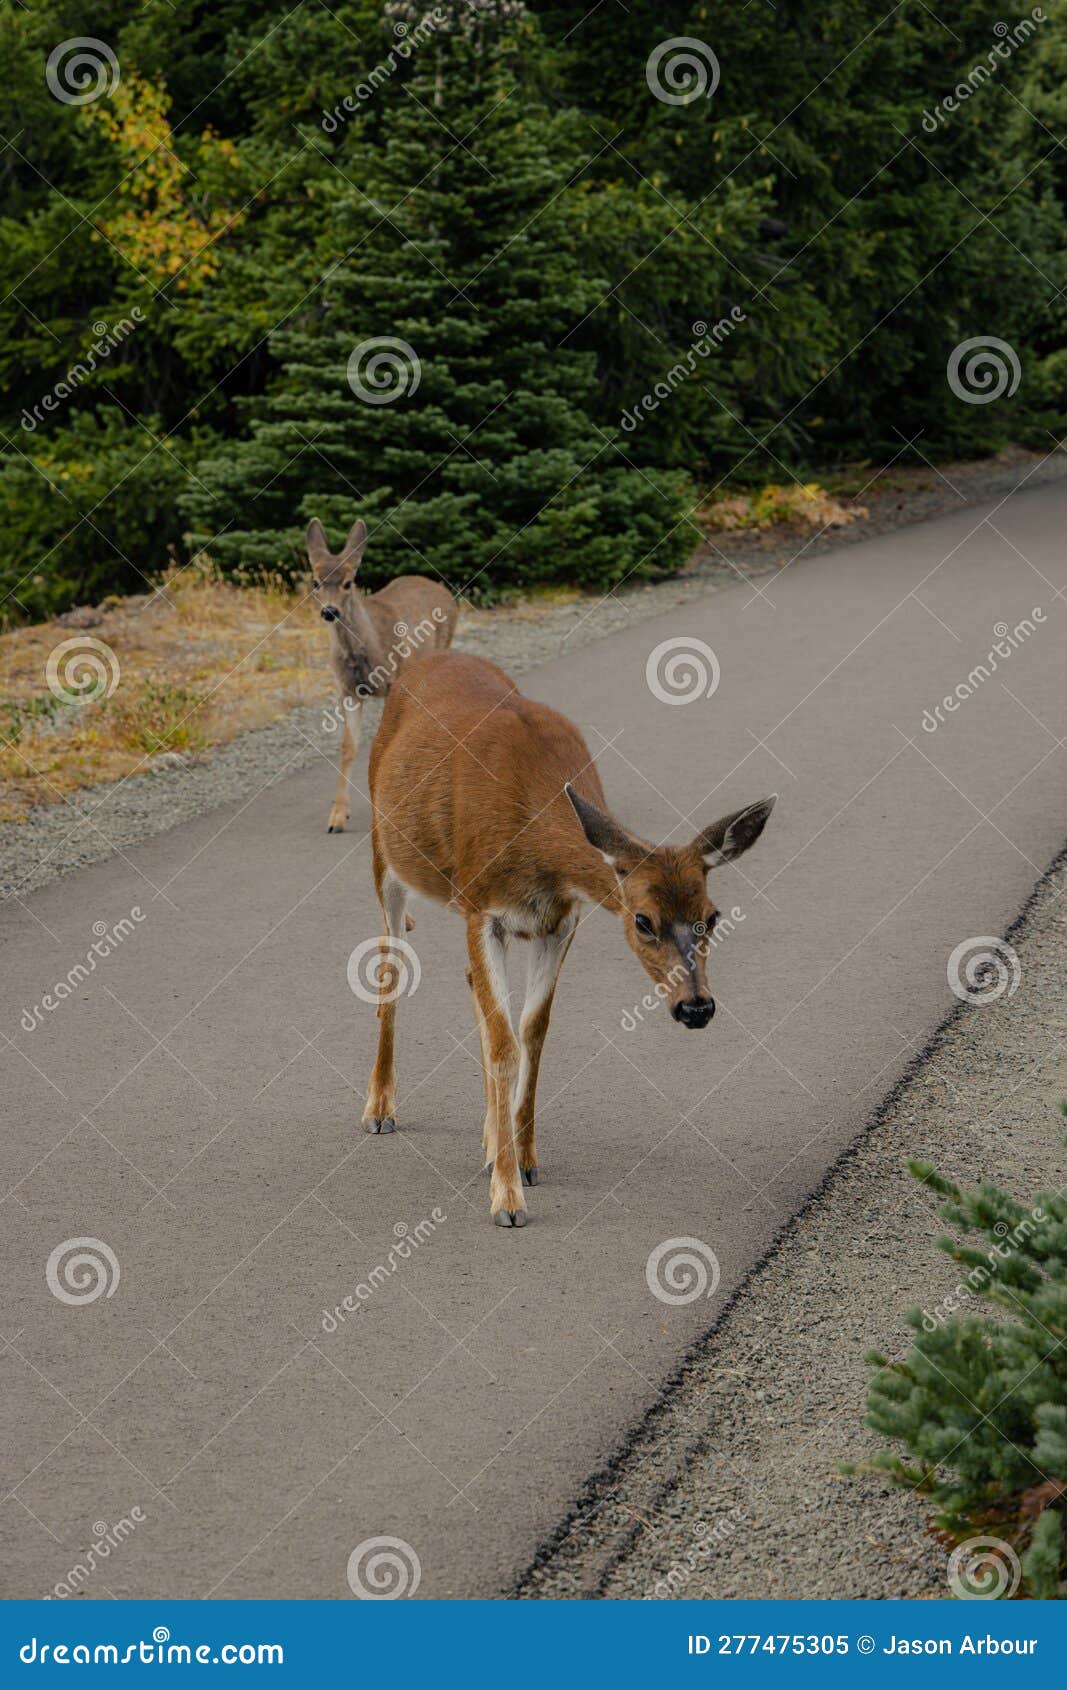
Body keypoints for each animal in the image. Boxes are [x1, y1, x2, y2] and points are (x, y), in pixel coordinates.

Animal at [307, 515, 458, 833]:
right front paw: (337, 816)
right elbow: (348, 747)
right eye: (315, 582)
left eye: (348, 583)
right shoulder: (348, 691)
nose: (330, 611)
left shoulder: (392, 682)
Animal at [360, 649, 777, 1228]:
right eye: (642, 920)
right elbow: (505, 1043)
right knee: (390, 971)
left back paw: (488, 1136)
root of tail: (427, 659)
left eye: (711, 917)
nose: (696, 1007)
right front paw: (508, 1200)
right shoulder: (481, 905)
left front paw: (524, 1158)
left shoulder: (559, 921)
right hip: (386, 857)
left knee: (471, 988)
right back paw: (379, 1110)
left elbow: (532, 1031)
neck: (537, 849)